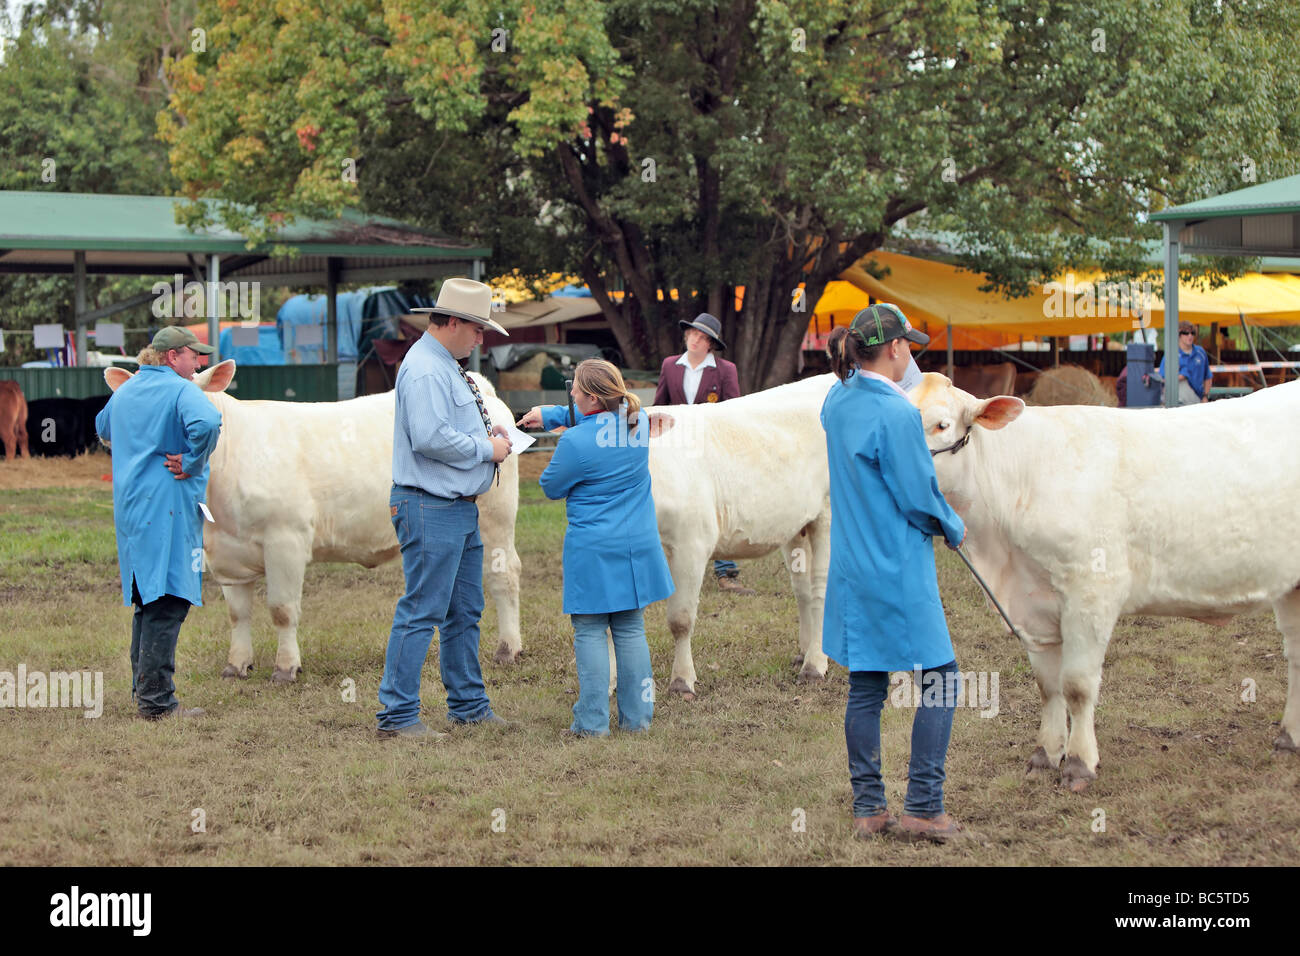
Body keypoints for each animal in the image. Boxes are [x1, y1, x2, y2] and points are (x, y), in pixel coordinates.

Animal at [104, 360, 522, 682]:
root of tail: (478, 385)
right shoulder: (225, 553)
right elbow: (237, 613)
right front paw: (237, 665)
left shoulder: (285, 540)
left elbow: (281, 609)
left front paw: (286, 668)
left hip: (497, 517)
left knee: (504, 575)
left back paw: (509, 648)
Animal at [642, 373, 838, 697]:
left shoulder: (691, 544)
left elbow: (680, 619)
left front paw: (681, 681)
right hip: (797, 524)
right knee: (804, 591)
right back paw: (805, 652)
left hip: (828, 515)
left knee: (822, 590)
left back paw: (814, 665)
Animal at [909, 372, 1300, 791]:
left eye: (941, 424)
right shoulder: (1032, 607)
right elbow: (1048, 686)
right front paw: (1045, 754)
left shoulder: (1091, 593)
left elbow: (1077, 686)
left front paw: (1079, 763)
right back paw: (1289, 738)